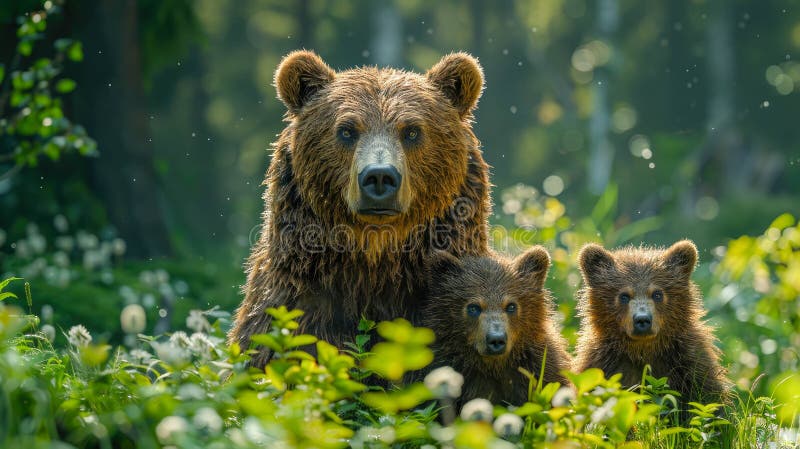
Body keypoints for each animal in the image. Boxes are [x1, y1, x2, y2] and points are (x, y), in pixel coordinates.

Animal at [573, 240, 730, 406]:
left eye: (657, 294)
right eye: (624, 296)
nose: (642, 319)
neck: (644, 350)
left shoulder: (689, 362)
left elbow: (707, 397)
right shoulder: (602, 365)